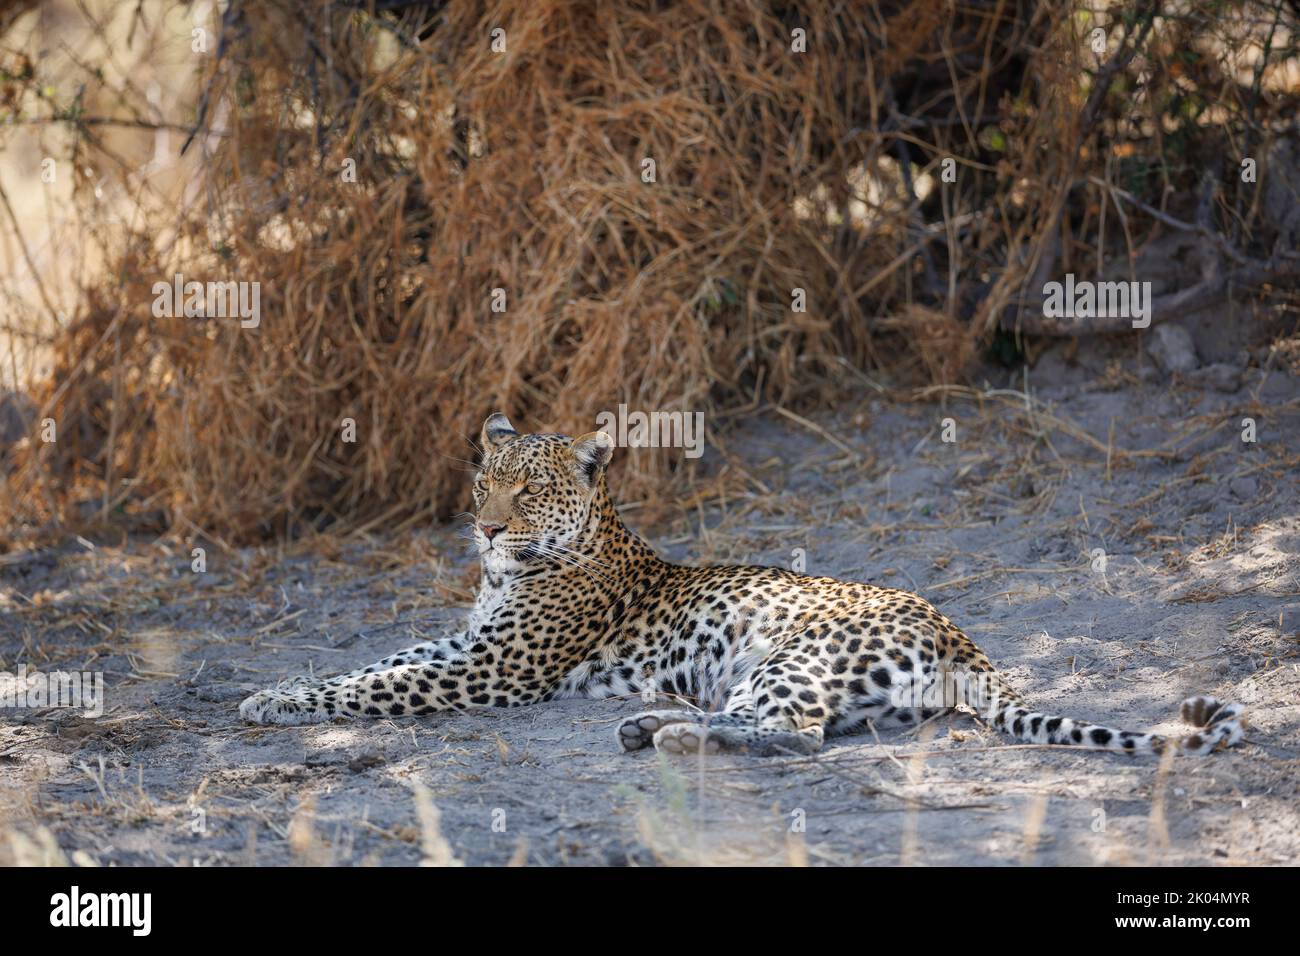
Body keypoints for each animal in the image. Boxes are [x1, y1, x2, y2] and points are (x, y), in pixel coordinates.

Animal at [240, 412, 1248, 758]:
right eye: (484, 482)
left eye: (526, 491)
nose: (484, 528)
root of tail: (961, 637)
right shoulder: (469, 643)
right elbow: (376, 662)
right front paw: (275, 686)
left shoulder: (493, 668)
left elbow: (378, 684)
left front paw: (277, 704)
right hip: (791, 680)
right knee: (785, 727)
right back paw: (653, 726)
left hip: (793, 656)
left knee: (796, 737)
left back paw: (674, 737)